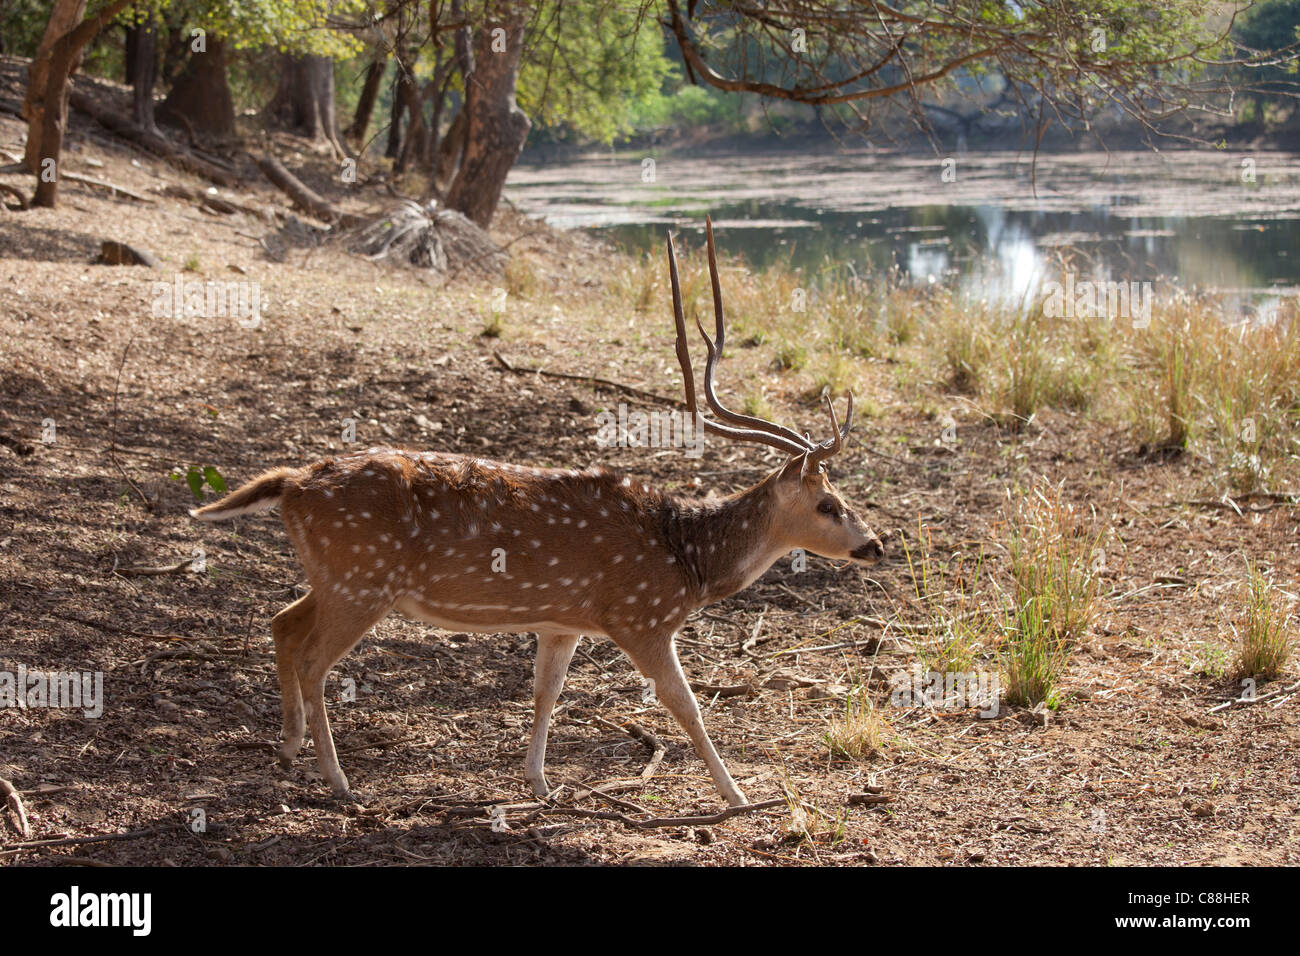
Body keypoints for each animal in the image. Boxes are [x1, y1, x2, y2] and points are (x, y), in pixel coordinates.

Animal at [191, 217, 884, 808]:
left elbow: (545, 690)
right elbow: (684, 705)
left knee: (282, 623)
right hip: (362, 580)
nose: (874, 544)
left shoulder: (563, 619)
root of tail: (291, 483)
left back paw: (288, 750)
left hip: (335, 577)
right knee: (312, 656)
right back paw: (337, 779)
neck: (687, 558)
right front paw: (736, 796)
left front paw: (539, 783)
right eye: (829, 503)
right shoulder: (640, 617)